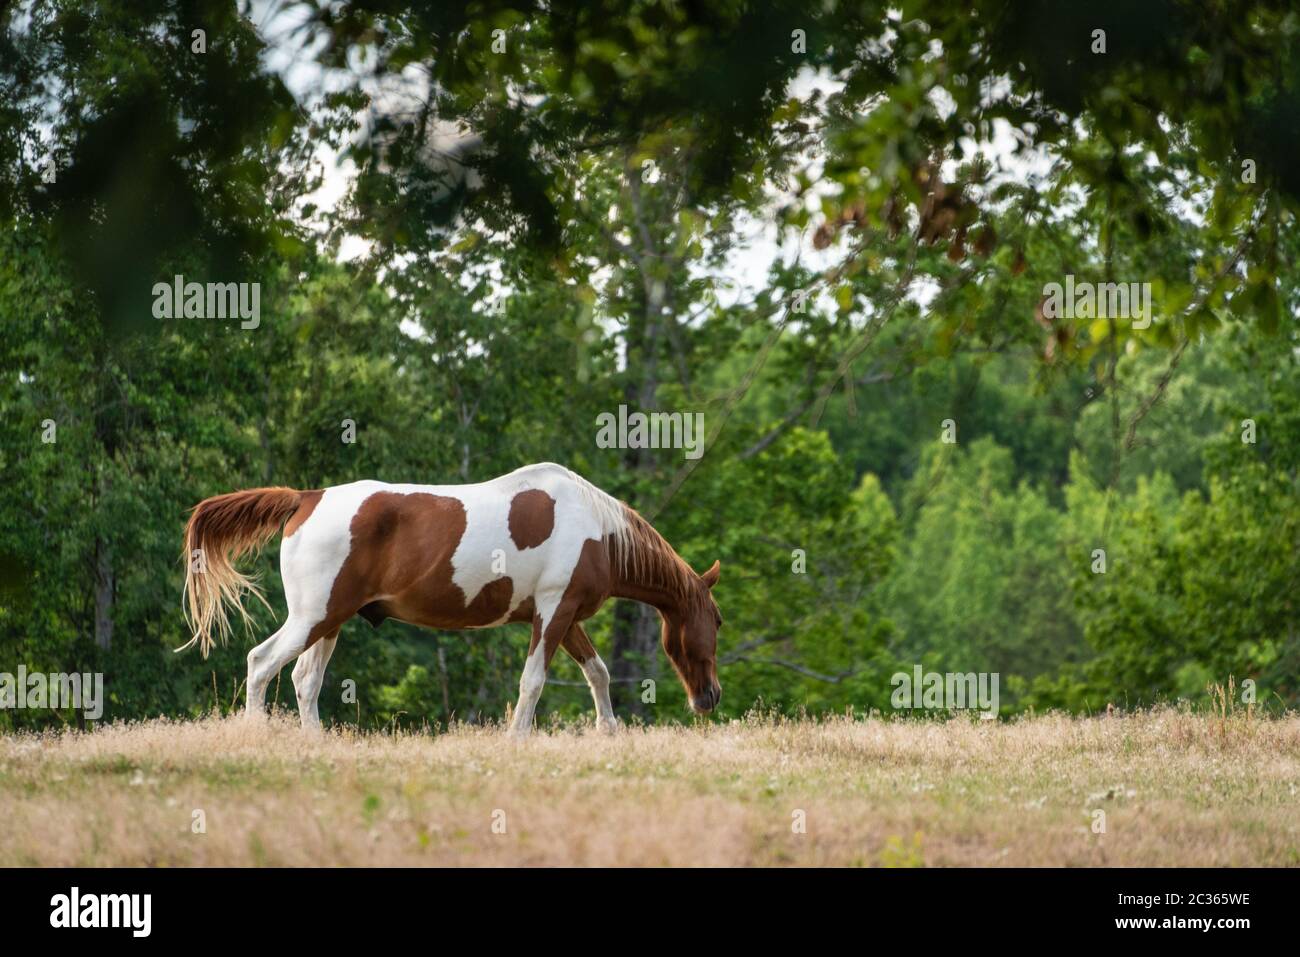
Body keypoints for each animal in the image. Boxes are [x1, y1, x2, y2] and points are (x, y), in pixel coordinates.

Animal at [180, 462, 722, 733]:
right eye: (716, 622)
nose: (710, 697)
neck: (595, 530)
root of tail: (306, 498)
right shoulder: (554, 612)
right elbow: (533, 683)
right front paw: (517, 739)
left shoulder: (566, 617)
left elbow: (598, 673)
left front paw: (609, 732)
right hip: (313, 617)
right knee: (261, 663)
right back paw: (256, 736)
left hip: (329, 622)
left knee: (304, 680)